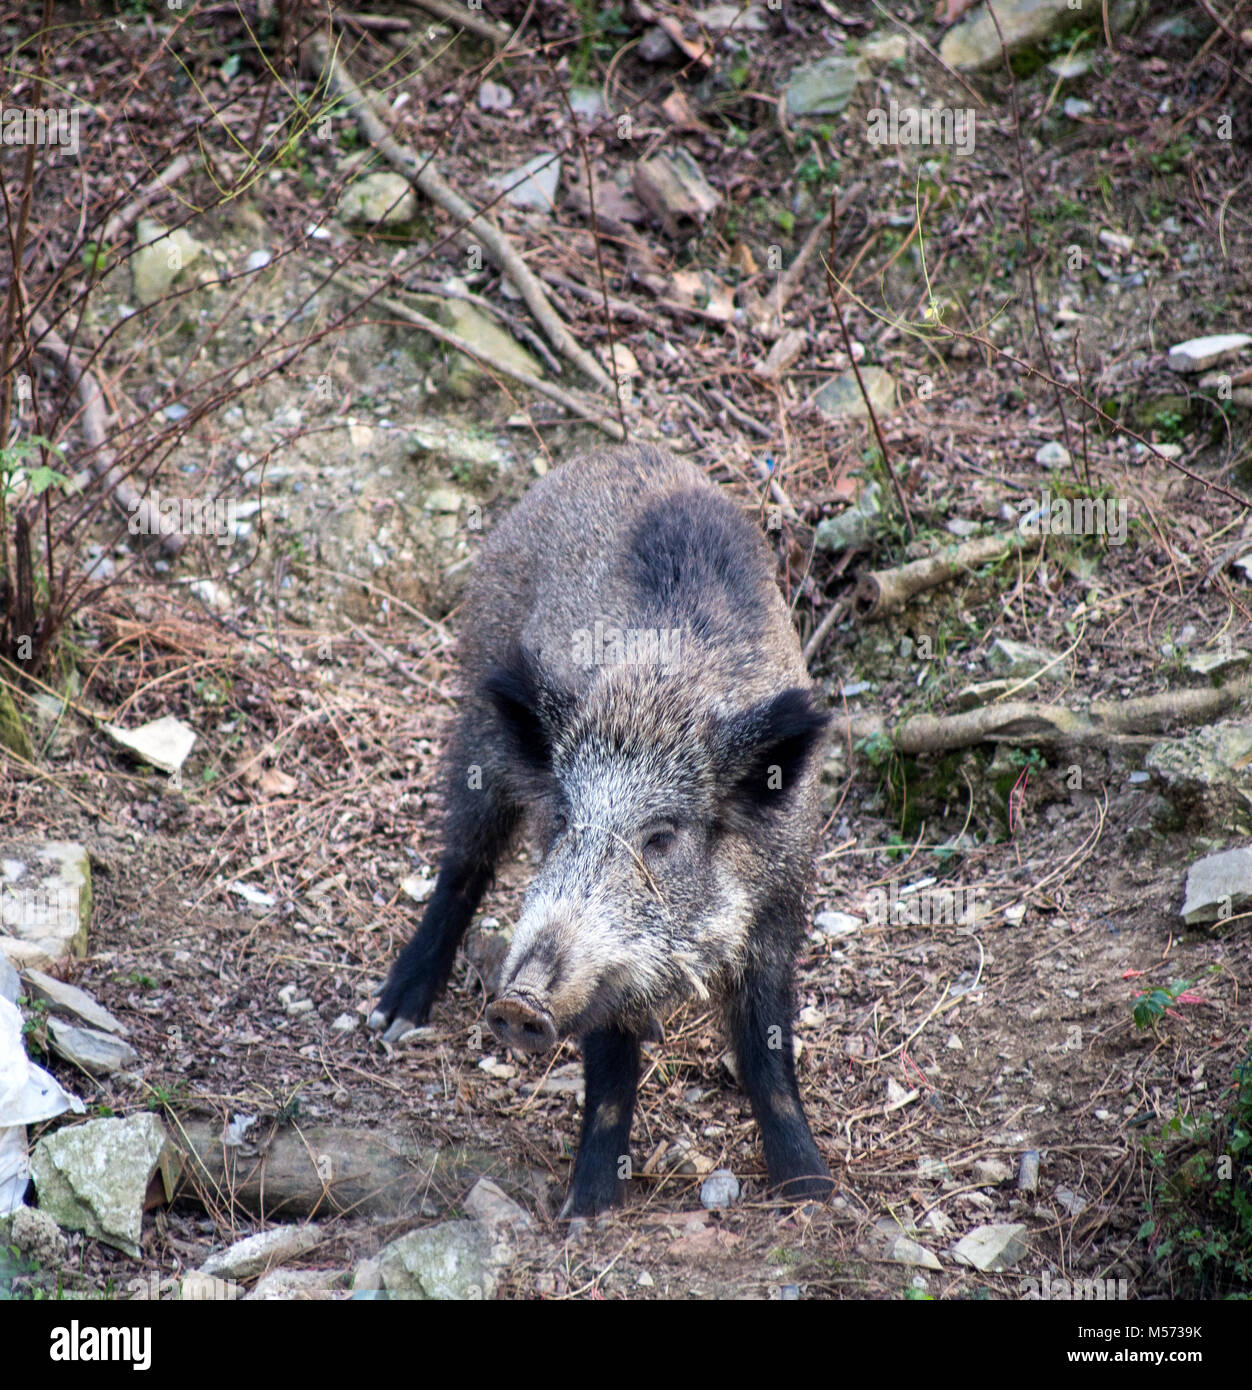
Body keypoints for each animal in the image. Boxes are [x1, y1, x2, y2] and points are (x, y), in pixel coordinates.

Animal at [369, 443, 833, 1218]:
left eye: (662, 836)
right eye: (562, 818)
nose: (517, 1004)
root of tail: (603, 455)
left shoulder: (780, 908)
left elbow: (769, 1053)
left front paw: (813, 1192)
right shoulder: (610, 977)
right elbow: (610, 1069)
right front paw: (584, 1212)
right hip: (480, 717)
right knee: (465, 859)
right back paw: (393, 1016)